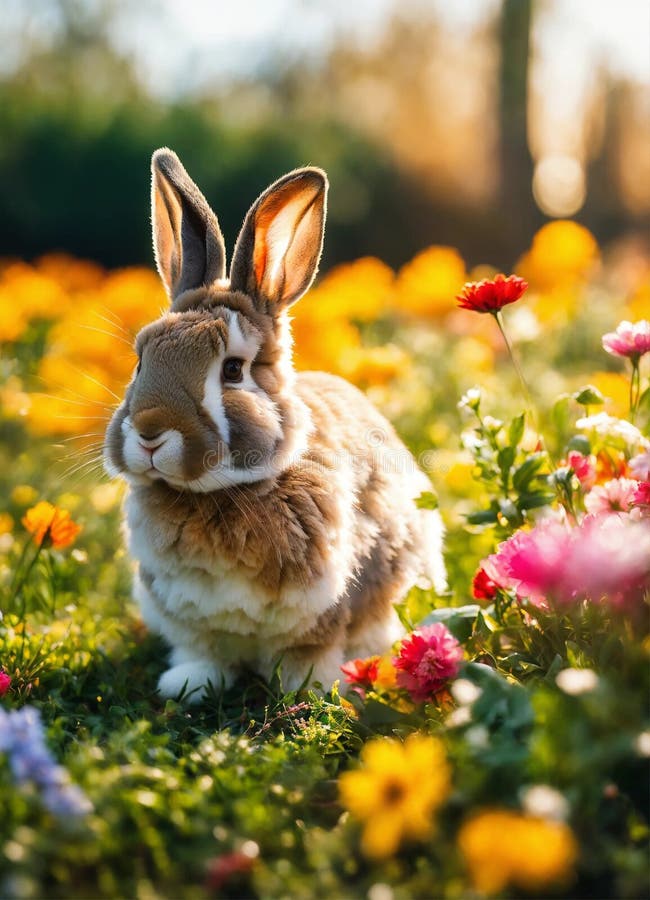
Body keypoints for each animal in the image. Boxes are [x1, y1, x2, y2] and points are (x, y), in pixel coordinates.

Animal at [104, 147, 446, 703]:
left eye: (232, 370)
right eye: (139, 360)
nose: (151, 432)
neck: (219, 493)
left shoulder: (323, 609)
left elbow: (306, 654)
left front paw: (308, 691)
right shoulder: (189, 618)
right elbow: (203, 651)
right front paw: (188, 684)